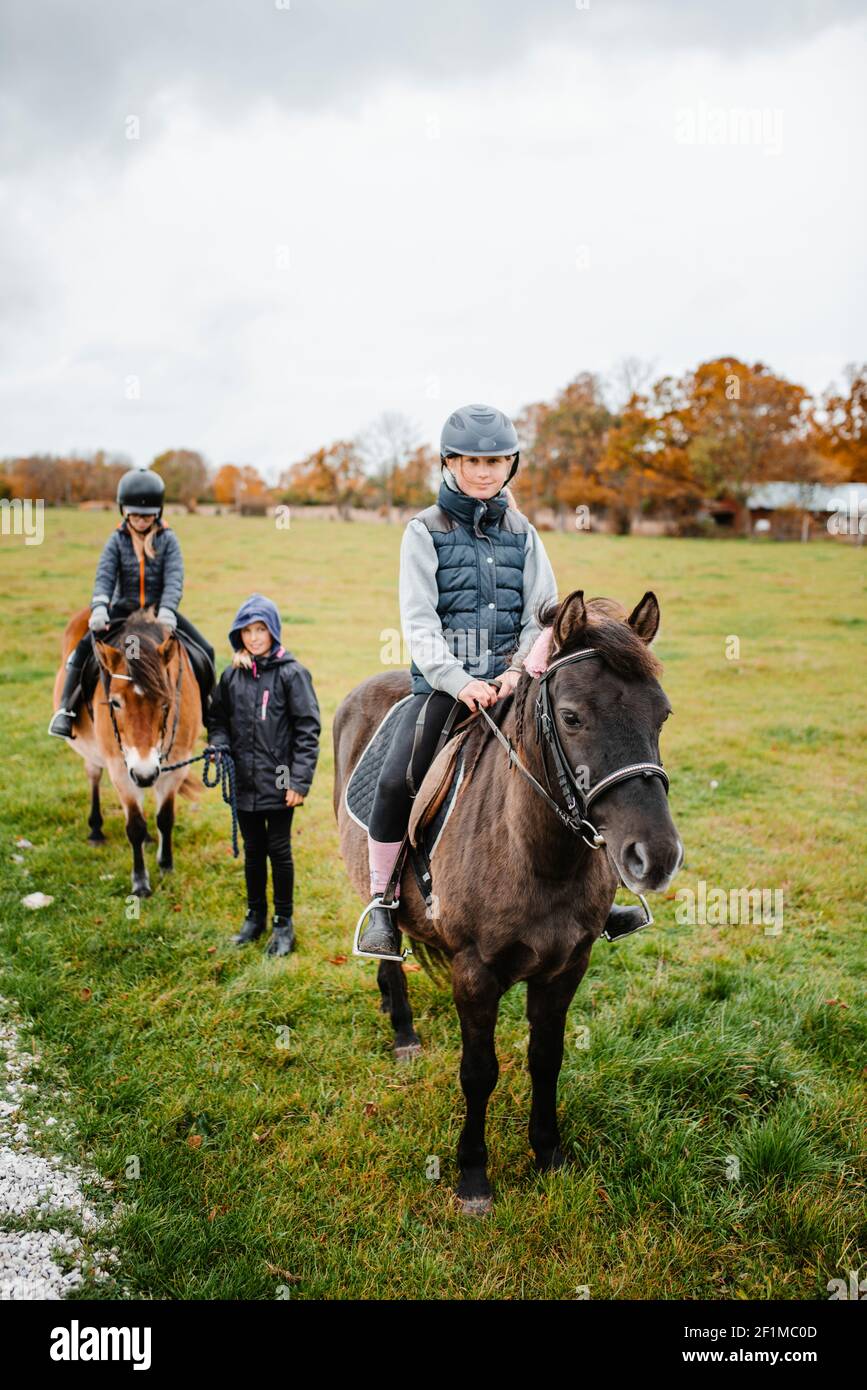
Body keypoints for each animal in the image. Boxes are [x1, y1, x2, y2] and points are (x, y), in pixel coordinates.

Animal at [52, 607, 203, 897]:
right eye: (114, 702)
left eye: (166, 702)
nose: (144, 773)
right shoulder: (121, 770)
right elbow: (134, 825)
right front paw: (140, 882)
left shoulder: (176, 766)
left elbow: (165, 818)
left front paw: (166, 865)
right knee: (94, 775)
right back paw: (96, 831)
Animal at [333, 590, 683, 1214]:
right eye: (571, 717)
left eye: (661, 715)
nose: (656, 855)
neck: (536, 855)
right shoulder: (475, 972)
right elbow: (479, 1071)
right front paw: (473, 1177)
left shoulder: (567, 967)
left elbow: (546, 1059)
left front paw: (548, 1154)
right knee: (388, 937)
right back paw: (402, 1029)